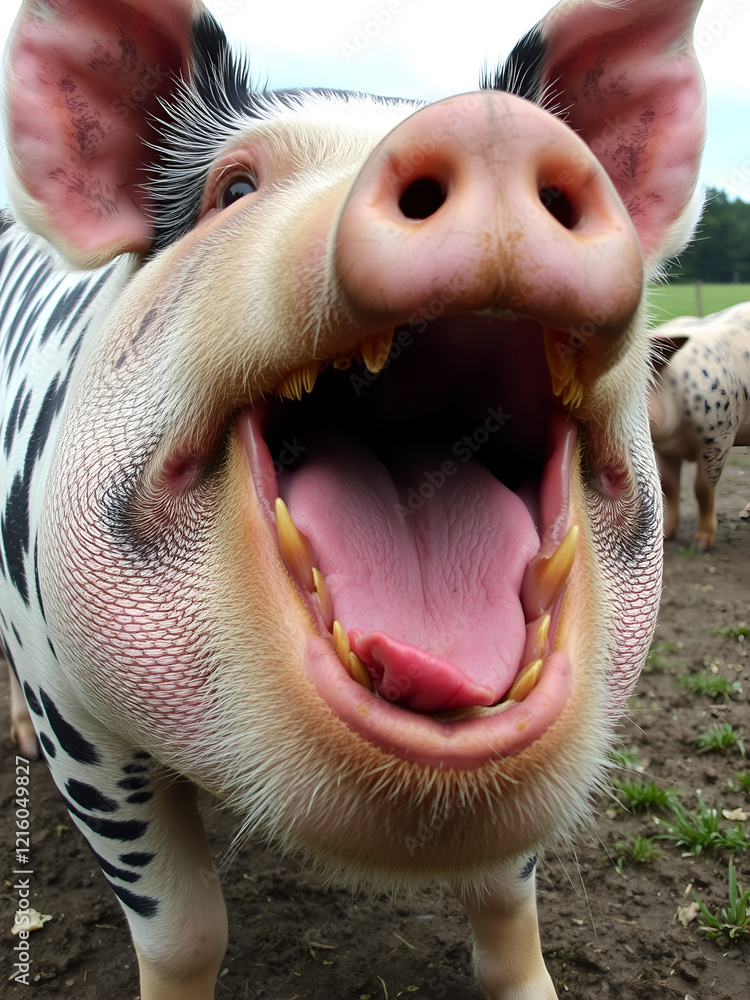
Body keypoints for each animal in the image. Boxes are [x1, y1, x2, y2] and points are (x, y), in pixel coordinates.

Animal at [649, 303, 750, 550]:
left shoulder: (719, 437)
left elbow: (702, 489)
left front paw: (701, 545)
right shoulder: (663, 447)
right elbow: (669, 487)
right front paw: (667, 535)